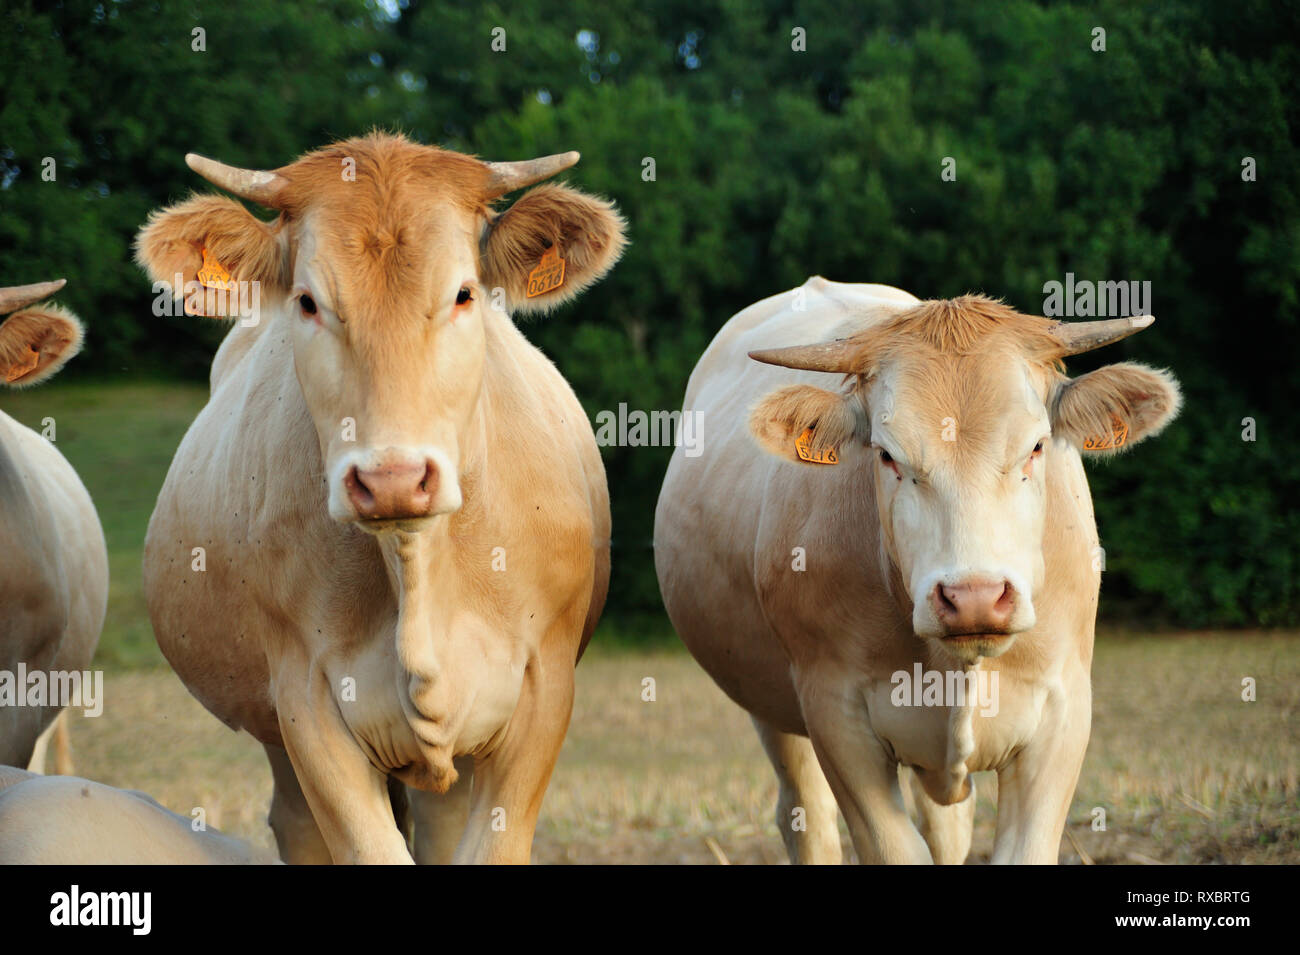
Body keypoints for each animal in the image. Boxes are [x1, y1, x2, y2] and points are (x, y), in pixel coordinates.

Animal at [135, 133, 625, 864]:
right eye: (308, 301)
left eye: (464, 293)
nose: (393, 477)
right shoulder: (305, 697)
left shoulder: (545, 689)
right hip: (275, 729)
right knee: (296, 820)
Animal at [654, 277, 1181, 864]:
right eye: (887, 455)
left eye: (1036, 445)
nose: (974, 597)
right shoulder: (836, 715)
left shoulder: (1062, 713)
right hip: (772, 710)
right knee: (806, 816)